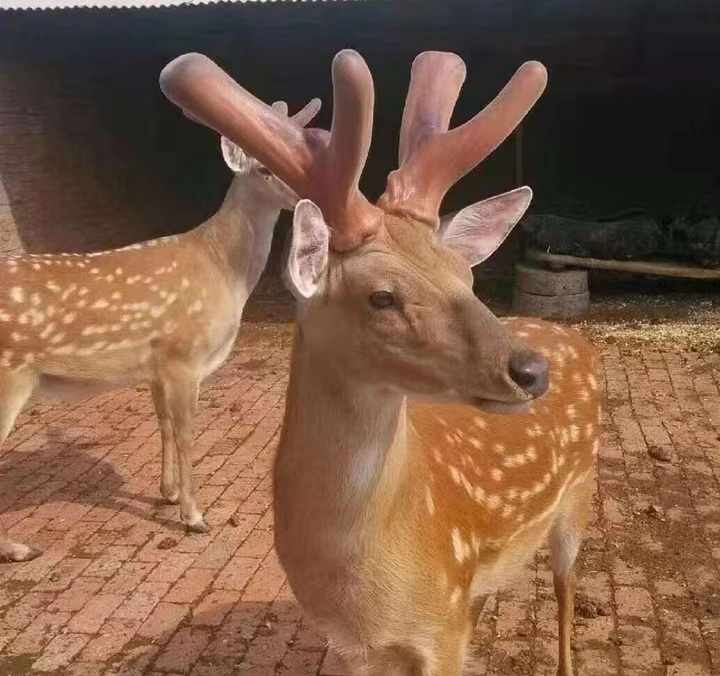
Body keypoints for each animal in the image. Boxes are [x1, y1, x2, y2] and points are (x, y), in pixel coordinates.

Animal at [0, 98, 321, 563]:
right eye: (263, 167)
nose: (308, 196)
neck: (222, 270)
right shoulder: (183, 355)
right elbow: (187, 432)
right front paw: (194, 516)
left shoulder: (156, 363)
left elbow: (164, 423)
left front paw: (167, 494)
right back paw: (18, 548)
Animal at [160, 50, 600, 676]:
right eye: (382, 297)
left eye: (464, 276)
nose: (531, 370)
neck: (365, 589)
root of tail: (567, 334)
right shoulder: (350, 643)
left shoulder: (440, 631)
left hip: (580, 495)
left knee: (566, 590)